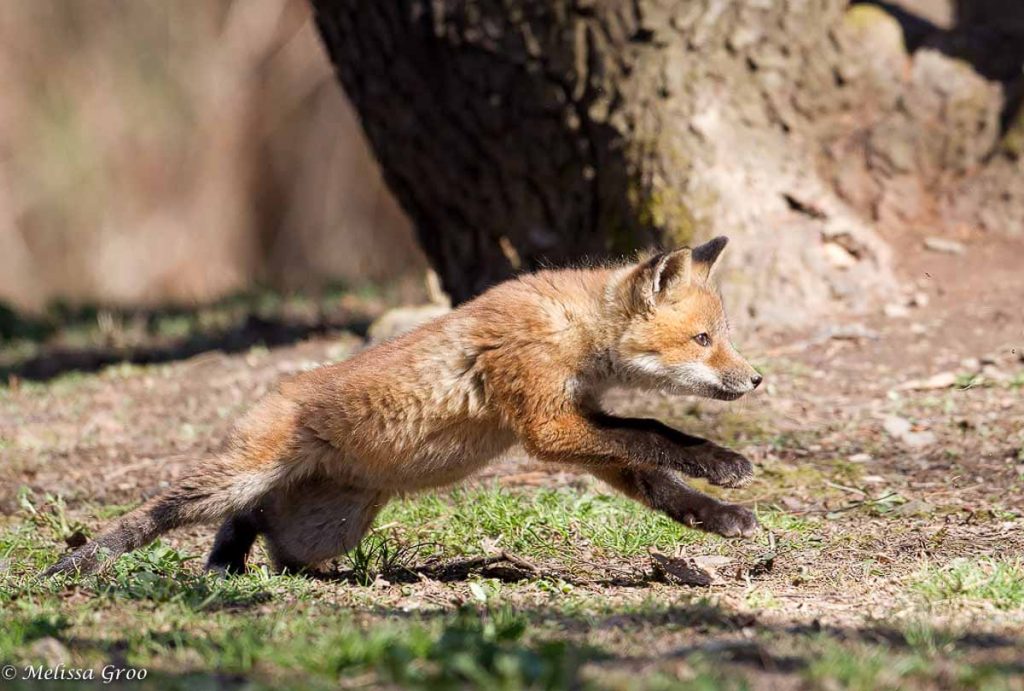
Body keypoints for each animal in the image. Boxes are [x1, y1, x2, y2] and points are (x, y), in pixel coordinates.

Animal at [43, 236, 763, 578]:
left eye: (723, 336)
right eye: (704, 339)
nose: (755, 379)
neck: (572, 326)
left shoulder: (580, 426)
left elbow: (659, 478)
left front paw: (720, 513)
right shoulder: (548, 425)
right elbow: (655, 430)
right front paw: (724, 464)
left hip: (326, 525)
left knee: (267, 531)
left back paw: (245, 568)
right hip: (243, 475)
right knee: (173, 510)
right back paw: (82, 564)